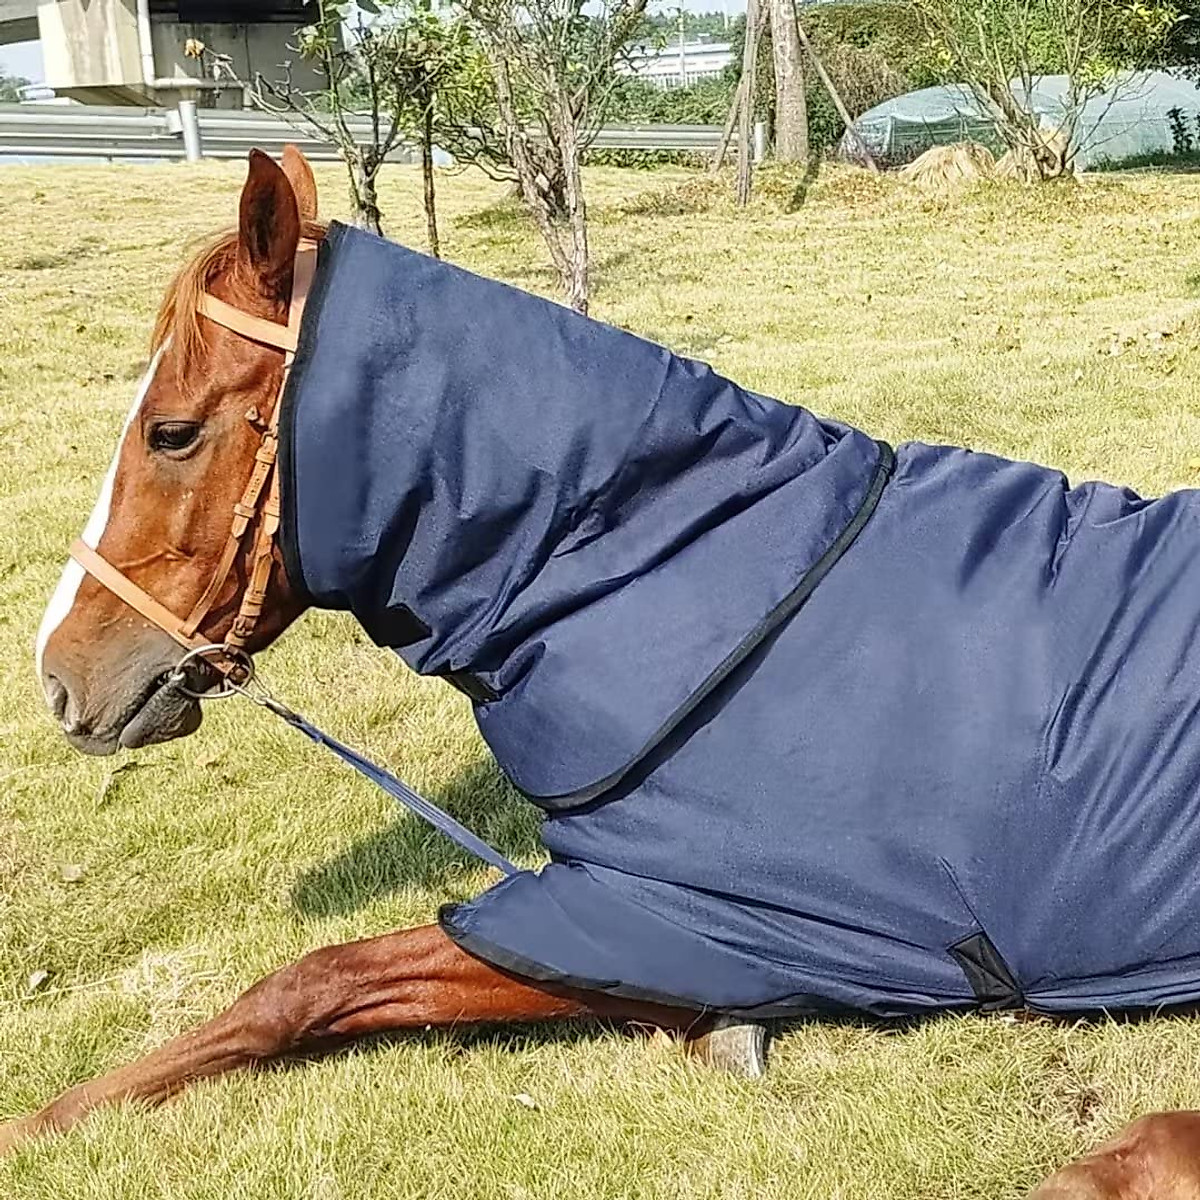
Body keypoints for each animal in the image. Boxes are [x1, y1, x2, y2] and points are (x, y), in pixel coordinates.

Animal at [12, 146, 1200, 1197]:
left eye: (171, 433)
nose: (59, 678)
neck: (661, 567)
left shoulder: (667, 924)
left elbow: (305, 982)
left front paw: (52, 1118)